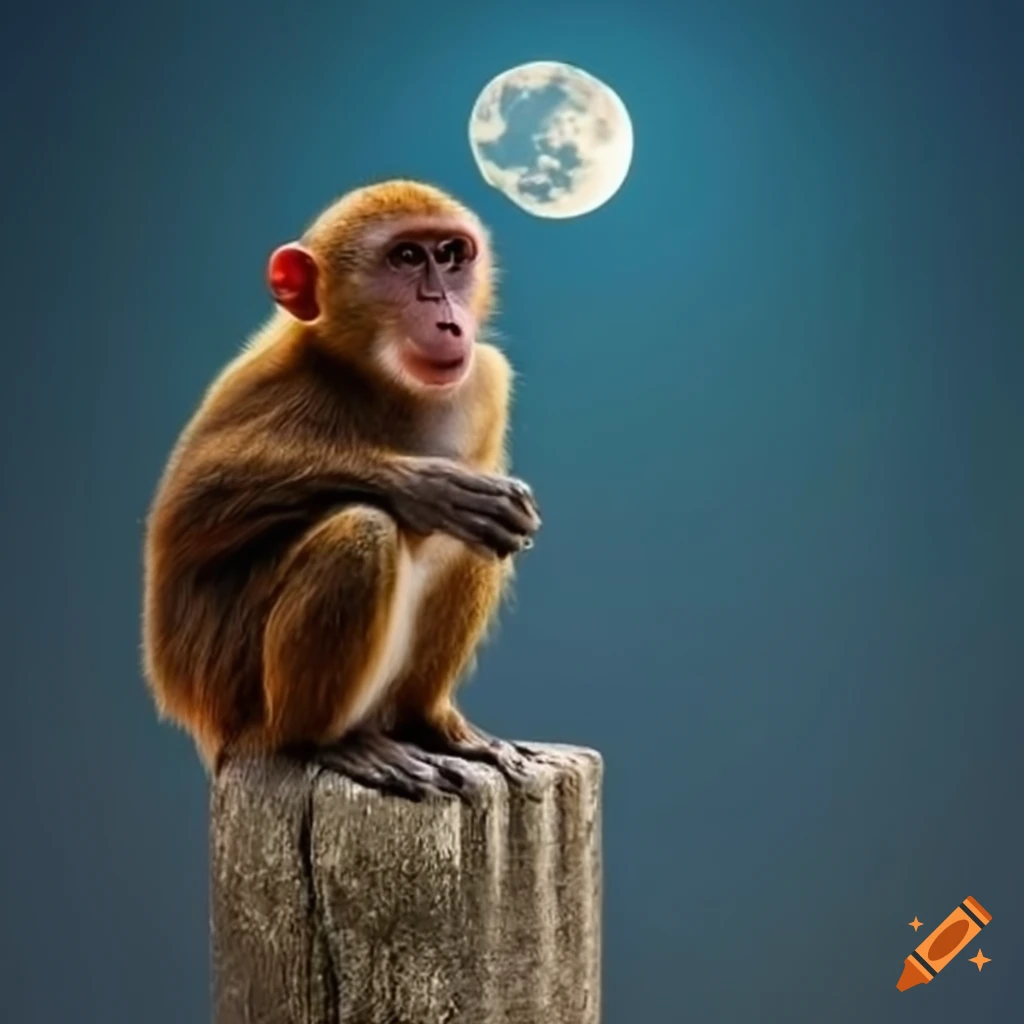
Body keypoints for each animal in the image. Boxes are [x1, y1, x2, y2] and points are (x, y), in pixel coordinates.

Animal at [141, 179, 543, 800]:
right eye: (407, 258)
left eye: (451, 255)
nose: (445, 313)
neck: (377, 380)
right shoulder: (264, 383)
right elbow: (190, 511)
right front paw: (424, 487)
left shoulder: (483, 380)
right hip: (244, 698)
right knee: (362, 529)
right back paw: (324, 740)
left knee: (472, 538)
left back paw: (427, 720)